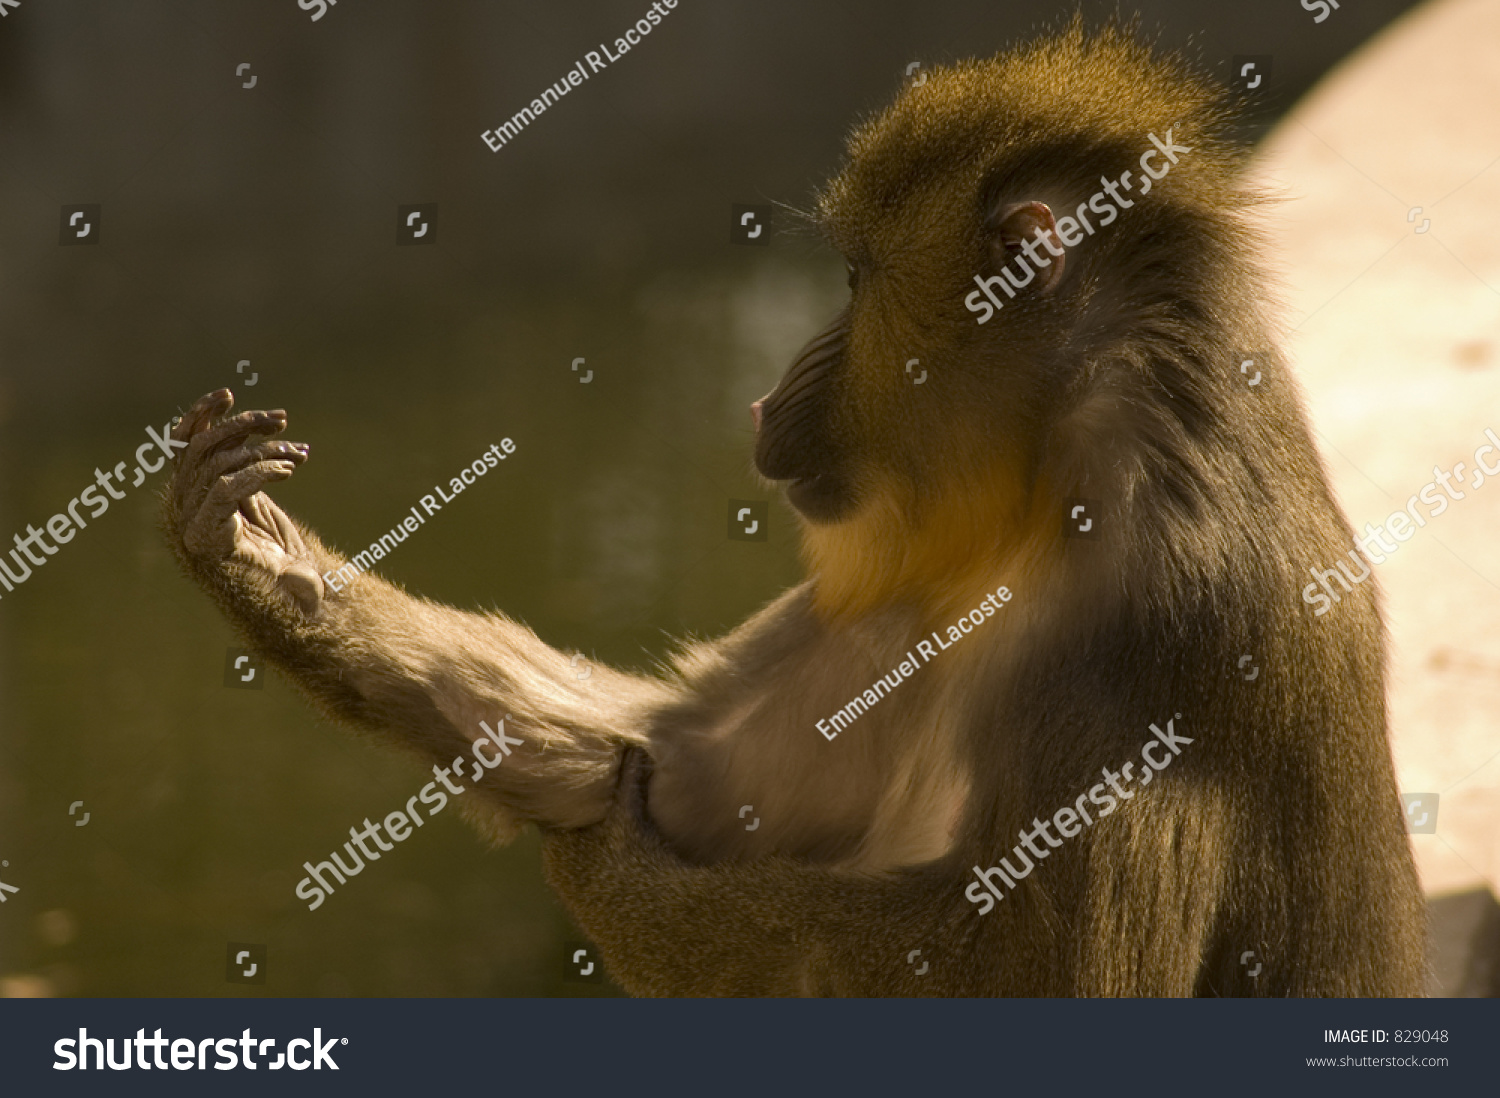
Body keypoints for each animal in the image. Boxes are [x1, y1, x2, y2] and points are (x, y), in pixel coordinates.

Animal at [162, 23, 1426, 996]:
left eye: (857, 282)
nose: (771, 391)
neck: (1063, 453)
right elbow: (670, 756)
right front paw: (264, 562)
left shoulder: (1146, 609)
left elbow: (1041, 979)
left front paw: (627, 894)